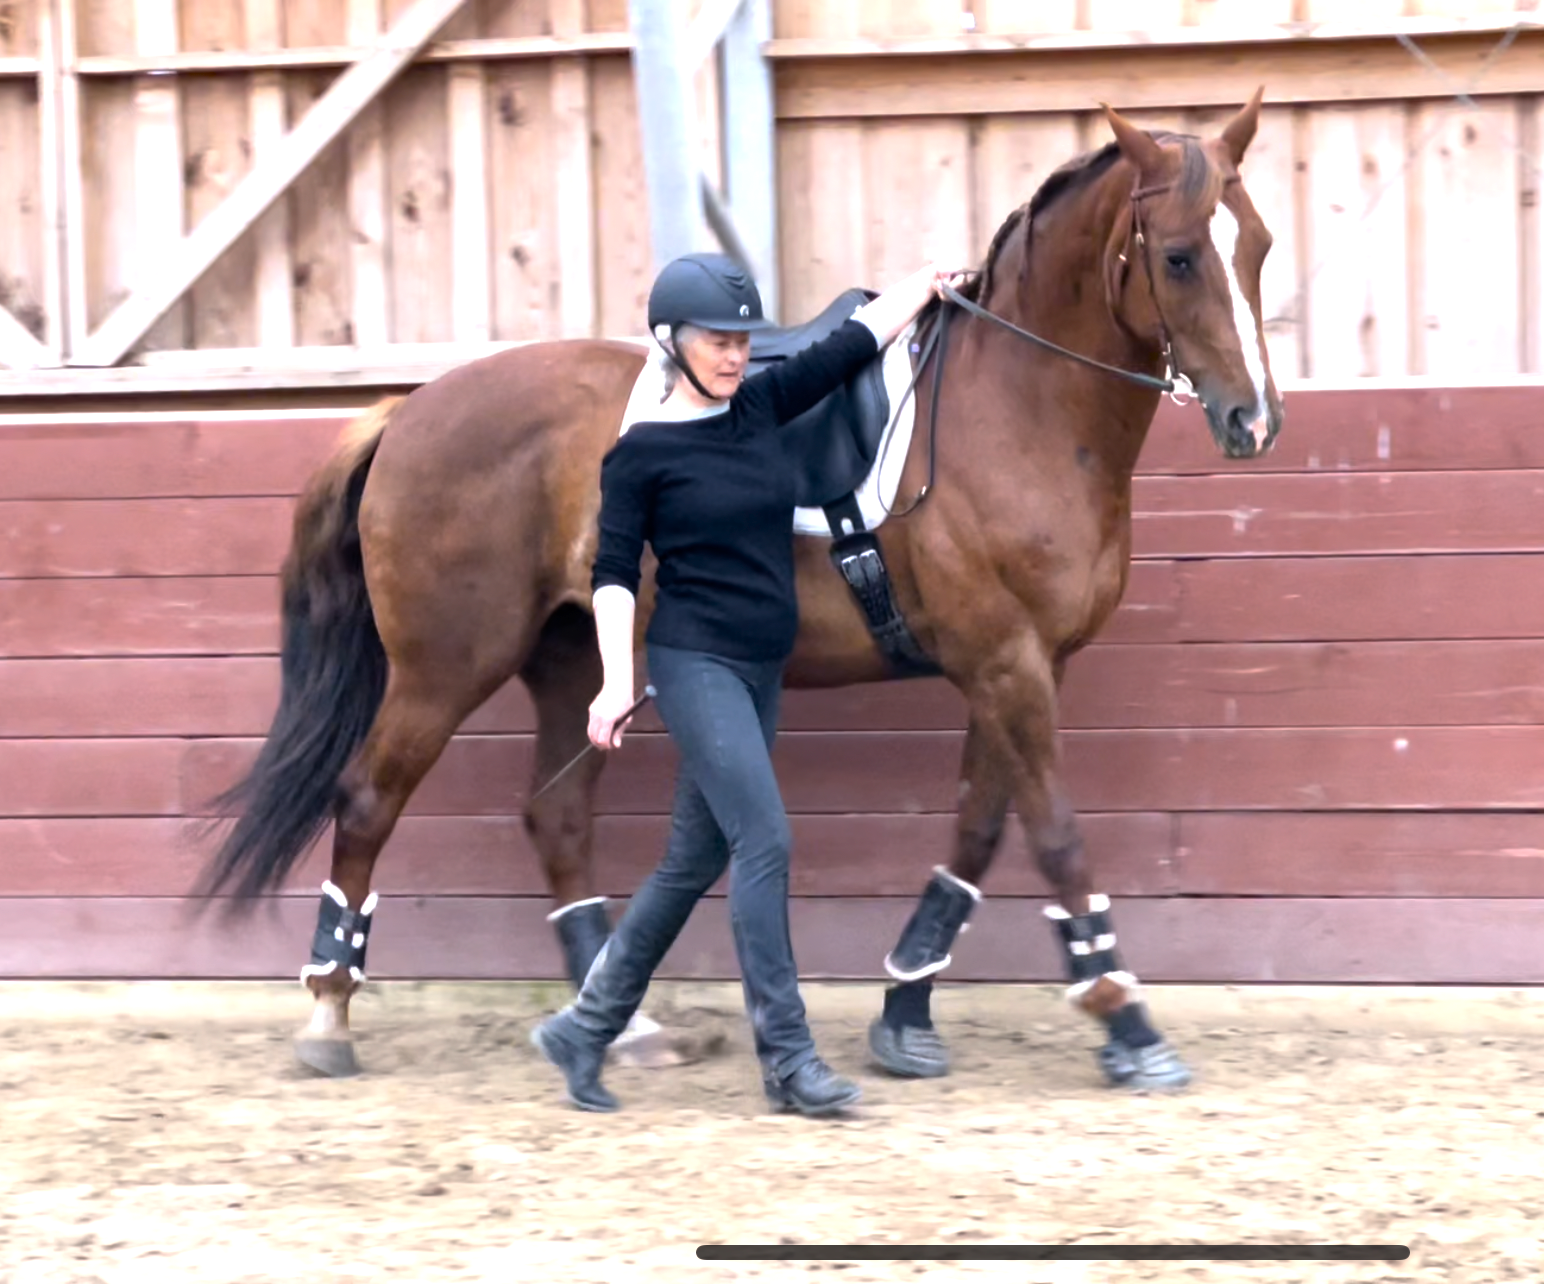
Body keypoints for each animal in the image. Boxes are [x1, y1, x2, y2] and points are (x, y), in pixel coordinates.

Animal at [194, 91, 1284, 1088]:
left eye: (1261, 247)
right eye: (1179, 256)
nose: (1253, 420)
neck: (1013, 406)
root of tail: (410, 411)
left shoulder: (1015, 666)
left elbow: (976, 835)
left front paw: (906, 1009)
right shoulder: (1005, 664)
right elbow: (1054, 837)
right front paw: (1124, 1018)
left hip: (573, 658)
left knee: (555, 818)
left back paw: (616, 1022)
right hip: (443, 669)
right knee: (368, 801)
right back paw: (330, 1013)